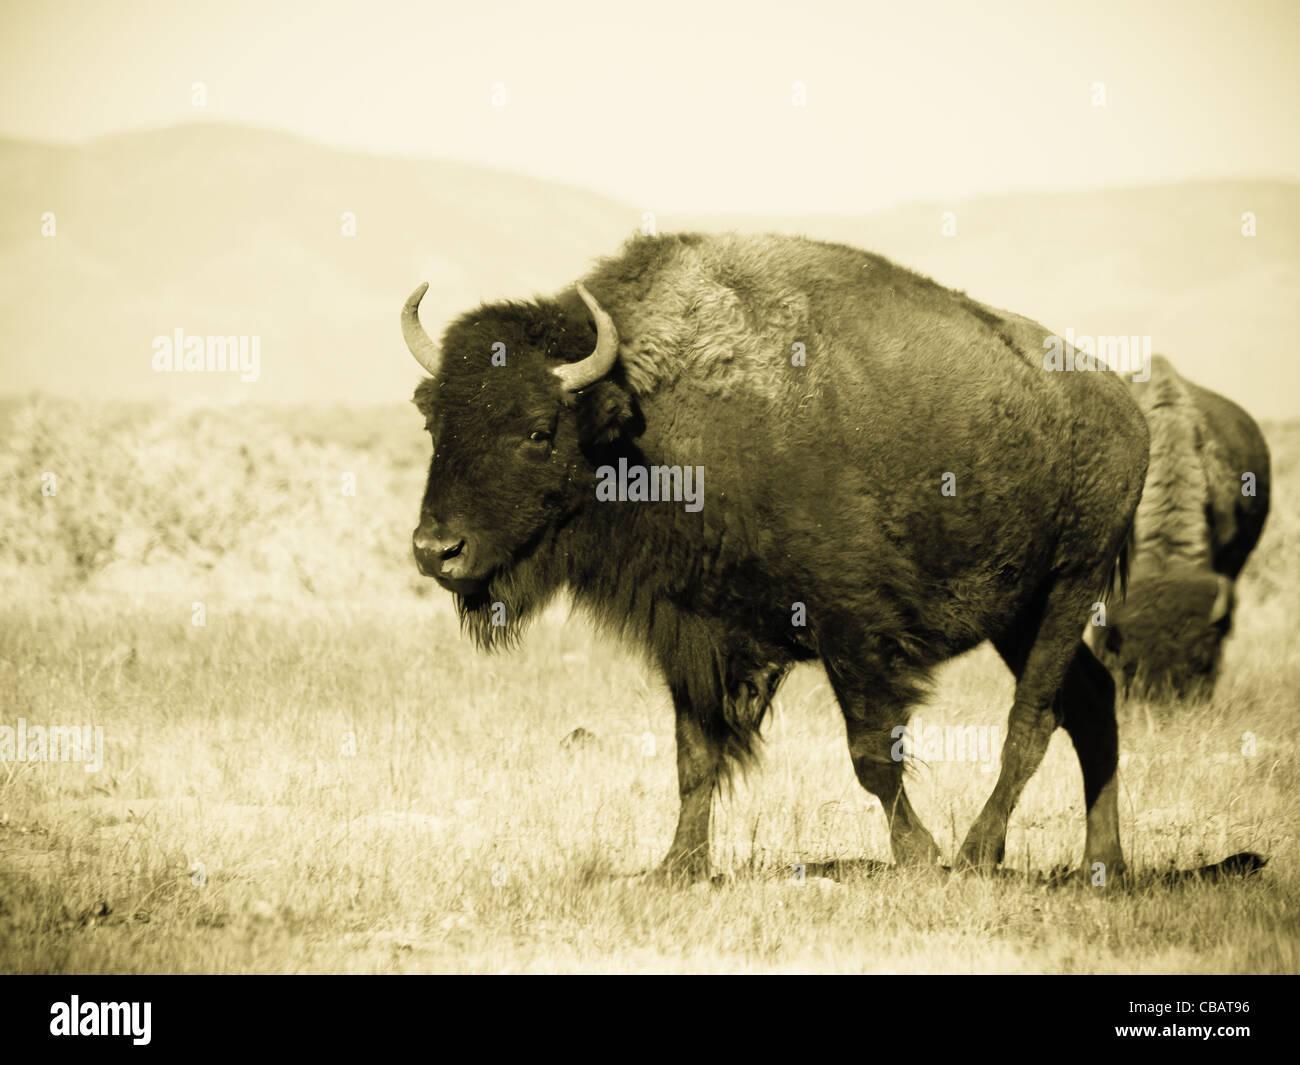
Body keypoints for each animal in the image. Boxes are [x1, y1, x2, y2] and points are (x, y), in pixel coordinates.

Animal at [403, 233, 1149, 882]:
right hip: (1019, 615)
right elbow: (695, 755)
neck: (651, 421)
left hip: (1070, 586)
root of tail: (1127, 408)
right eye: (434, 422)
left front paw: (917, 855)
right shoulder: (691, 632)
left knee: (1034, 719)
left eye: (537, 429)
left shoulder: (854, 634)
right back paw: (1102, 866)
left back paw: (977, 853)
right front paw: (678, 867)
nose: (437, 551)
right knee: (1090, 703)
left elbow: (871, 754)